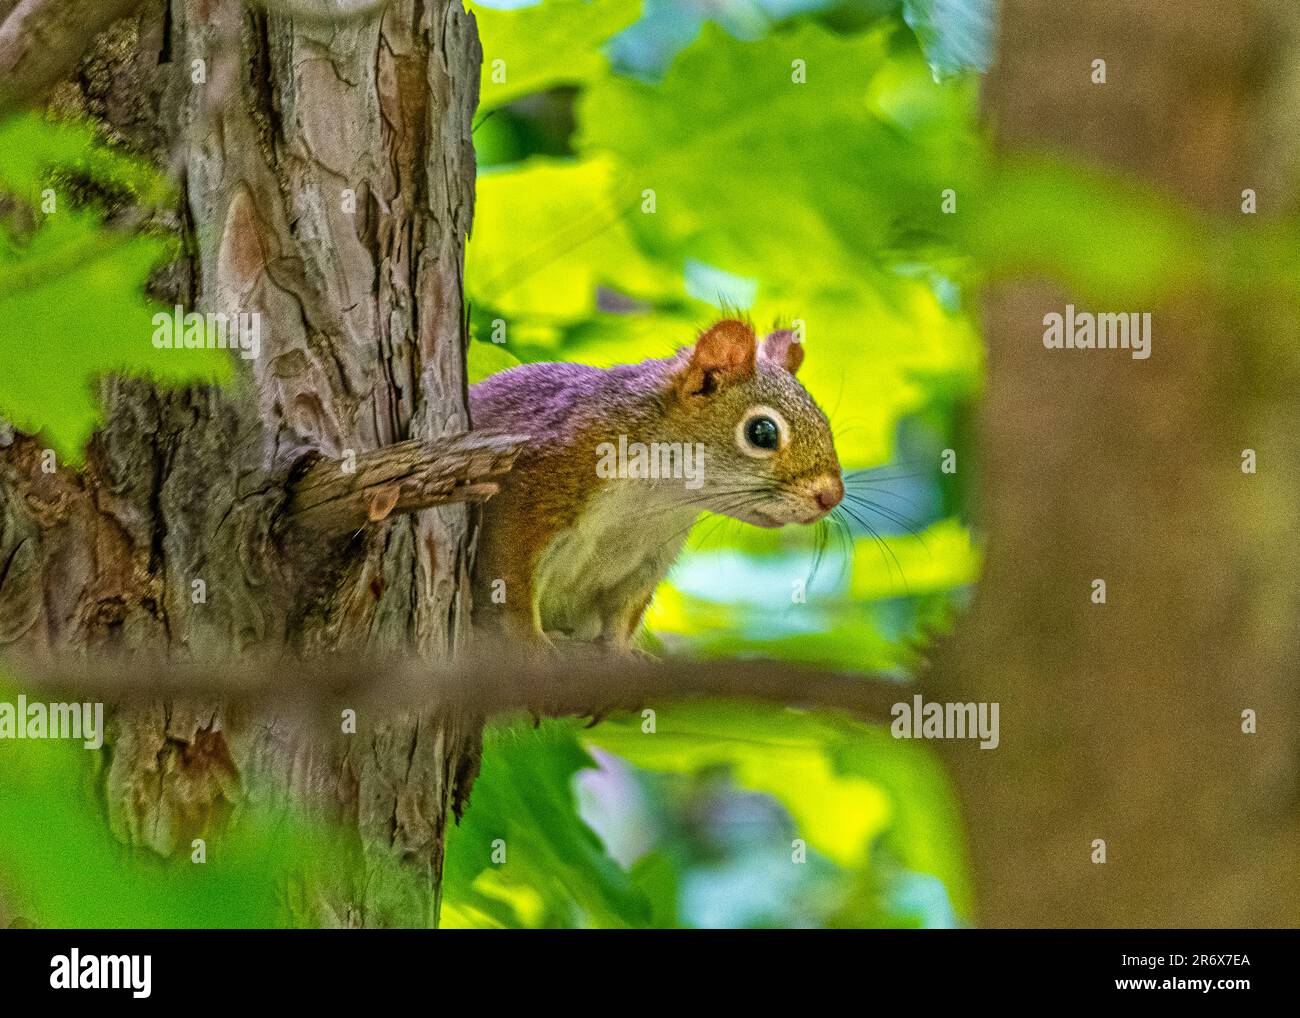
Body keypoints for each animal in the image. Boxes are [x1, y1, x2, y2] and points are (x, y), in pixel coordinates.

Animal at [468, 318, 844, 652]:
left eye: (825, 421)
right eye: (762, 432)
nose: (832, 496)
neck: (659, 493)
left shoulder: (647, 561)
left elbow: (624, 613)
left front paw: (620, 653)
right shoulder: (530, 496)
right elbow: (511, 583)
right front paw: (529, 643)